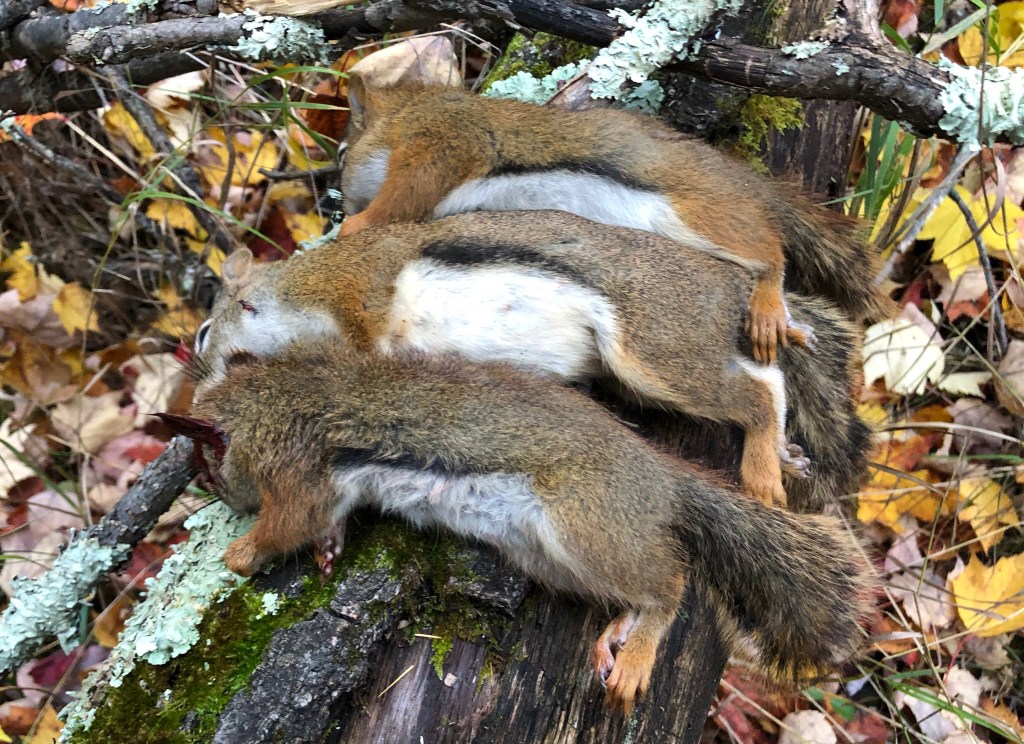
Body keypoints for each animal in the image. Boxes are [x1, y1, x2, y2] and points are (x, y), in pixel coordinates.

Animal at [188, 339, 874, 714]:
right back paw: (617, 634)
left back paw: (639, 649)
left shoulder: (298, 471)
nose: (220, 497)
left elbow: (287, 524)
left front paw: (240, 554)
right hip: (550, 555)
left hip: (585, 525)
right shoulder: (322, 485)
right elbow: (324, 522)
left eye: (205, 467)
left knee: (671, 583)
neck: (276, 396)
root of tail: (660, 480)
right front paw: (325, 549)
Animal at [194, 210, 821, 507]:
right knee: (766, 379)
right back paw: (783, 455)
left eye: (201, 335)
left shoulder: (357, 287)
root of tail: (730, 288)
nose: (197, 398)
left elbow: (368, 338)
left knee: (757, 392)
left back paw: (763, 470)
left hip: (655, 350)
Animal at [337, 81, 895, 364]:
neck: (405, 112)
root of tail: (743, 180)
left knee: (768, 249)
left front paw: (354, 227)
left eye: (343, 148)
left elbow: (403, 200)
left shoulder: (443, 140)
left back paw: (768, 304)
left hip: (692, 211)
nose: (340, 197)